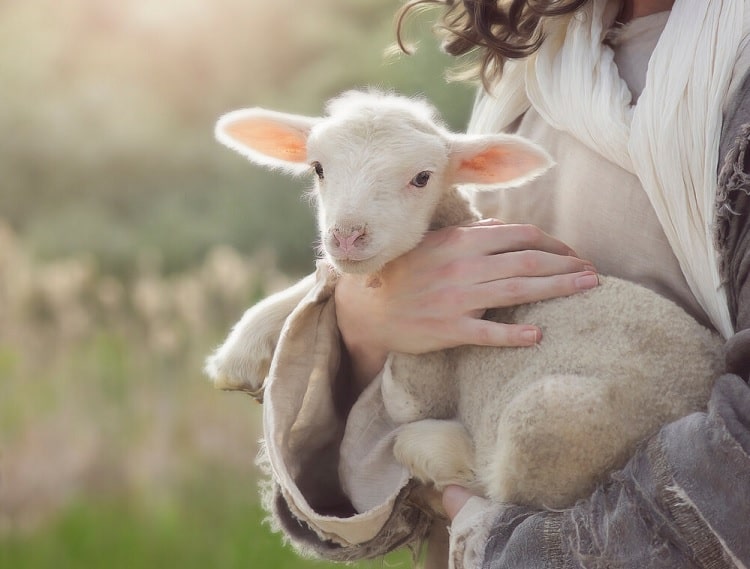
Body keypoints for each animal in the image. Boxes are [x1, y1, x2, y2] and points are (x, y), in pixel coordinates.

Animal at [205, 90, 723, 509]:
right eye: (318, 168)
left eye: (422, 178)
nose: (347, 236)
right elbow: (326, 279)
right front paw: (242, 349)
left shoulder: (423, 375)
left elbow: (403, 393)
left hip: (556, 421)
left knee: (509, 490)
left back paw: (431, 448)